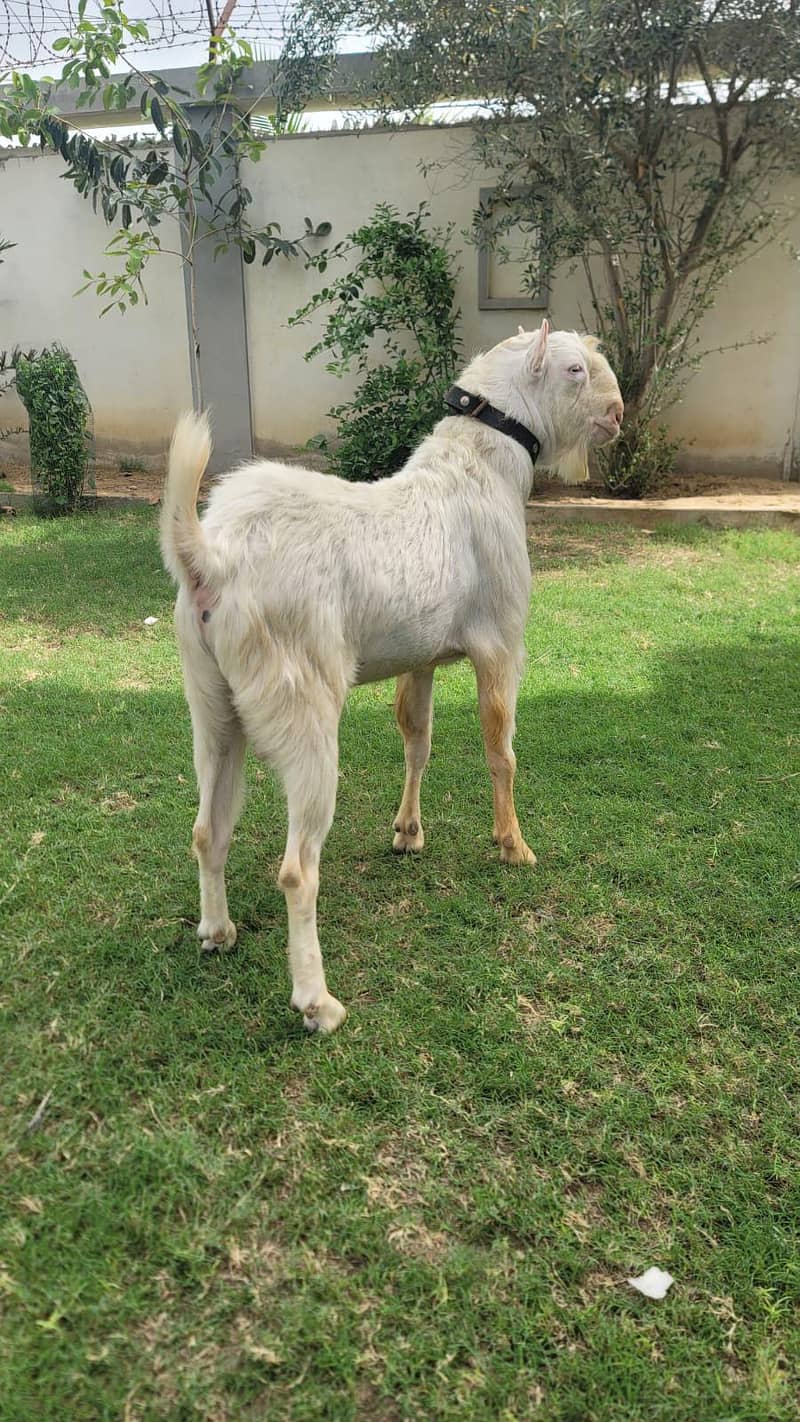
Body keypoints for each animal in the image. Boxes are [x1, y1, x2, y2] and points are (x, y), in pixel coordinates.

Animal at [161, 320, 623, 1033]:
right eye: (576, 369)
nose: (618, 416)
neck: (476, 470)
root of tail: (212, 556)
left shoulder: (421, 656)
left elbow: (417, 739)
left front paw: (408, 833)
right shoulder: (501, 643)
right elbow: (500, 748)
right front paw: (512, 845)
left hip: (212, 702)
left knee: (209, 827)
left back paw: (217, 932)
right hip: (302, 704)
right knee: (297, 870)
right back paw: (317, 1003)